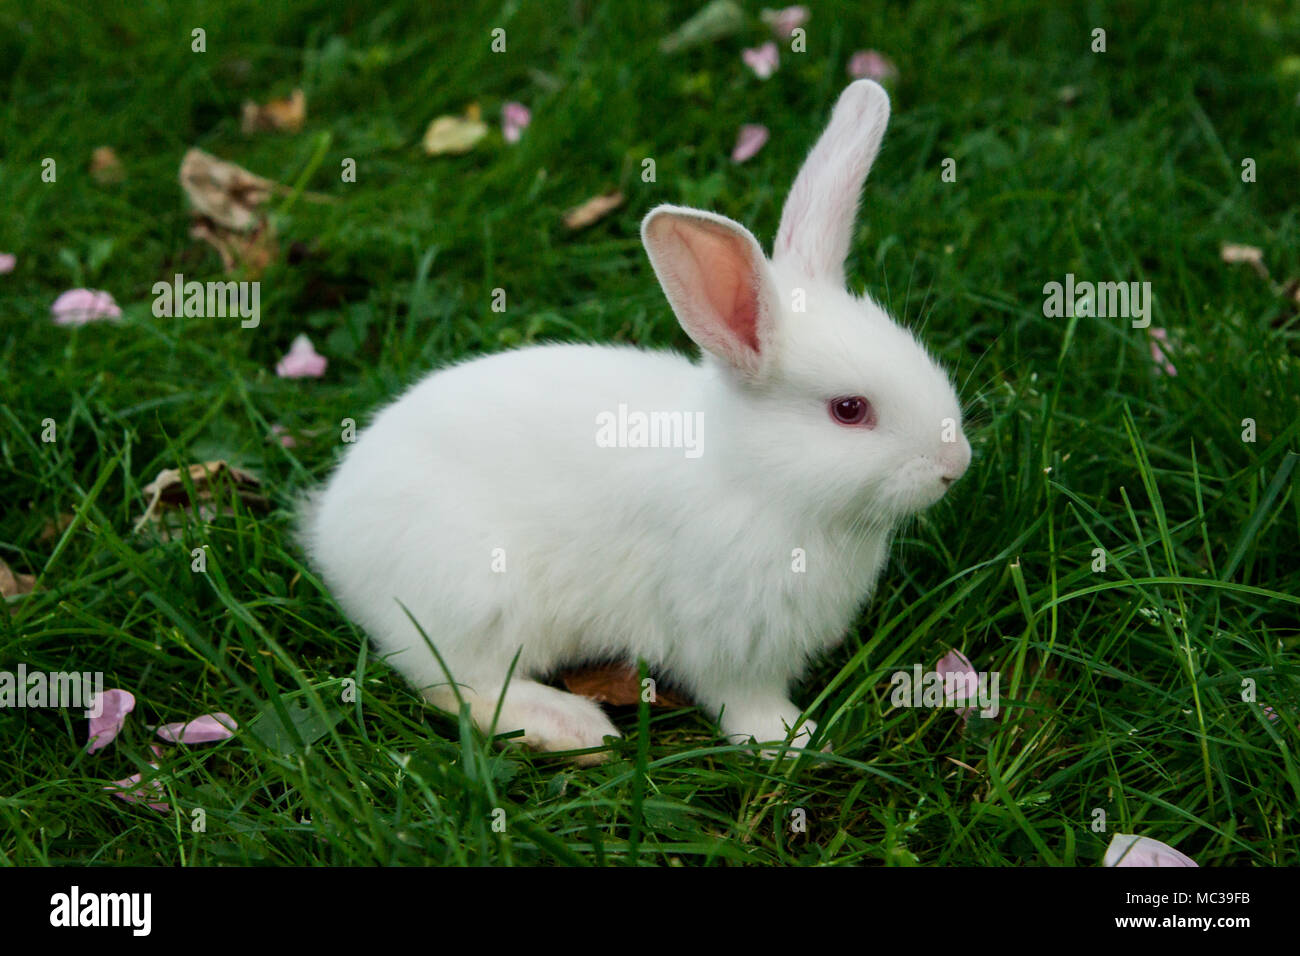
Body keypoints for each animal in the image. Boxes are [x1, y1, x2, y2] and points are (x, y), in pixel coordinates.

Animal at [301, 80, 971, 763]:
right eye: (849, 410)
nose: (956, 465)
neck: (755, 479)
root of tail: (330, 532)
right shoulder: (725, 638)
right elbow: (742, 699)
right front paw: (790, 741)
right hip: (474, 597)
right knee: (458, 684)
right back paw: (571, 725)